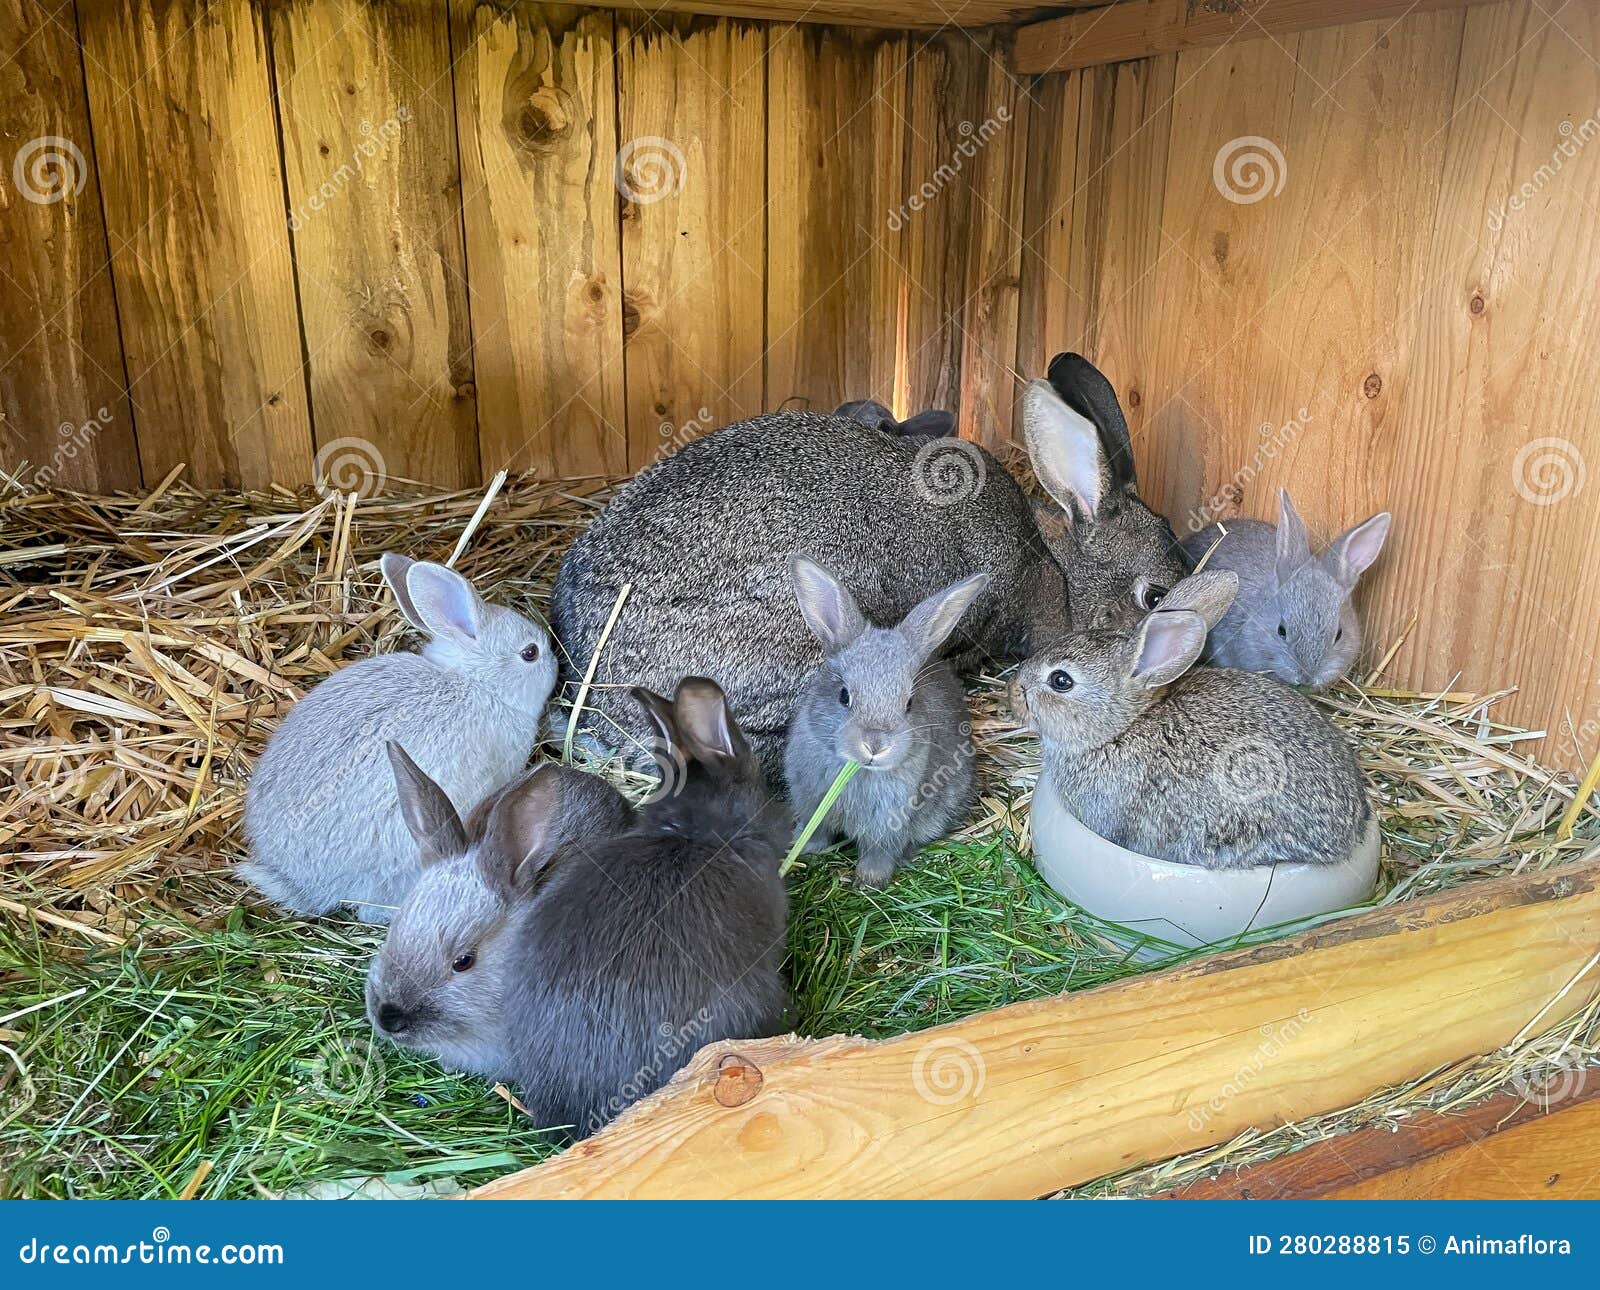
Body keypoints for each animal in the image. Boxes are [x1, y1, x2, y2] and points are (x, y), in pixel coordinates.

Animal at [784, 555, 986, 888]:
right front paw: (803, 849)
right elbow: (818, 832)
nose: (875, 745)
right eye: (844, 695)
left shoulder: (890, 823)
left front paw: (868, 883)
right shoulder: (810, 803)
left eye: (909, 703)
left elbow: (880, 853)